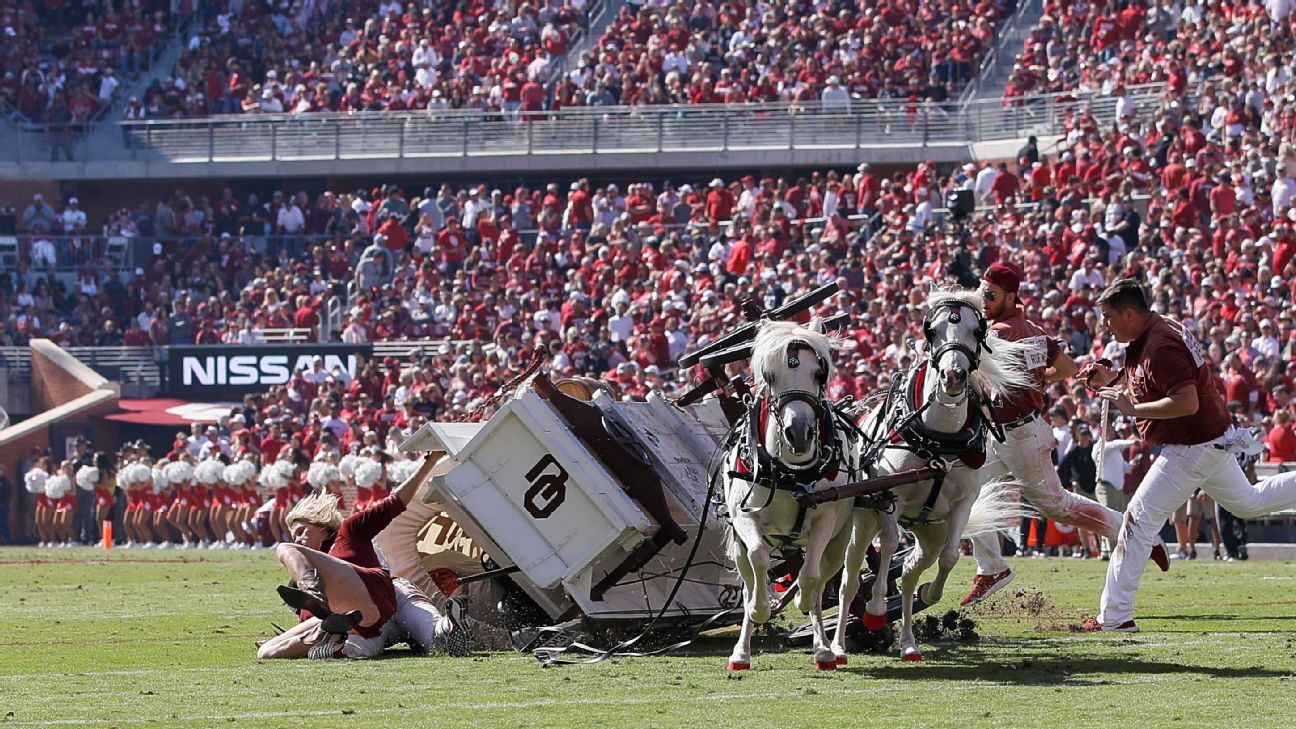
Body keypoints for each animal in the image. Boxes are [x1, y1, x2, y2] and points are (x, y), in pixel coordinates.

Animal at [720, 317, 860, 669]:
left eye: (819, 373)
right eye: (769, 375)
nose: (798, 433)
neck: (791, 472)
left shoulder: (825, 521)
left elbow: (810, 578)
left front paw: (802, 604)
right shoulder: (745, 519)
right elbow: (758, 561)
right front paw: (760, 609)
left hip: (839, 542)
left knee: (823, 580)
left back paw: (824, 647)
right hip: (738, 544)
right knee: (748, 581)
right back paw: (741, 651)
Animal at [839, 287, 1031, 658]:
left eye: (977, 331)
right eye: (932, 331)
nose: (953, 376)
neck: (938, 437)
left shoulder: (962, 505)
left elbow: (951, 557)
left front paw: (930, 593)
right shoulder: (891, 498)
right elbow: (887, 545)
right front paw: (875, 610)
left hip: (929, 531)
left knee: (910, 571)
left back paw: (909, 643)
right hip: (862, 519)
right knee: (850, 577)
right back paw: (837, 645)